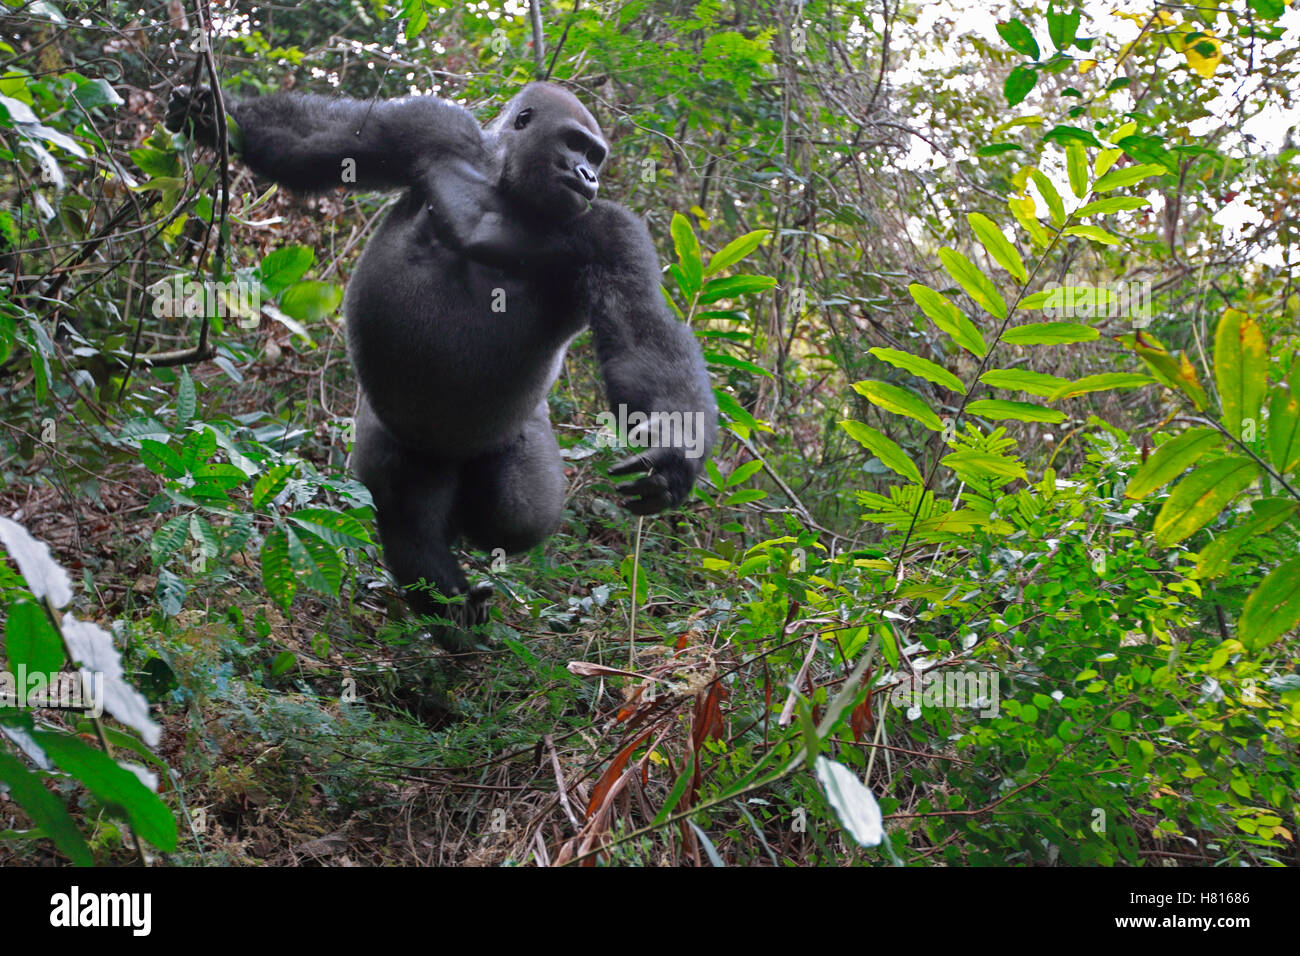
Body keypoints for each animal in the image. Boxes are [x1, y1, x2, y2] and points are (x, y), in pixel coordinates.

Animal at [166, 82, 717, 649]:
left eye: (595, 155)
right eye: (574, 144)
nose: (588, 175)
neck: (506, 185)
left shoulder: (613, 232)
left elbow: (640, 330)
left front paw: (674, 455)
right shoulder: (431, 129)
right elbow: (321, 140)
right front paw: (209, 113)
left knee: (515, 514)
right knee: (404, 504)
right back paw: (447, 601)